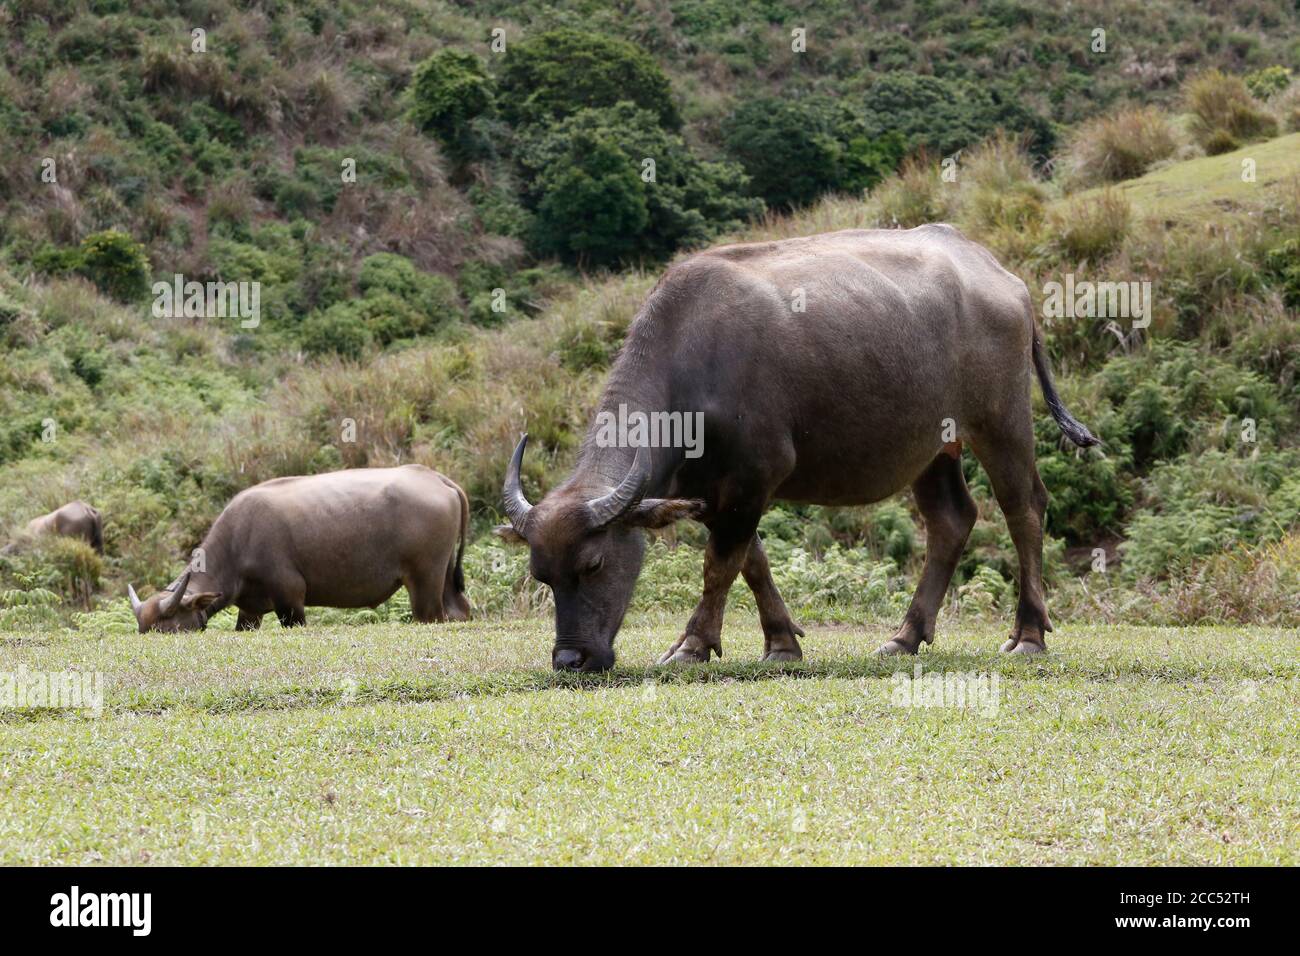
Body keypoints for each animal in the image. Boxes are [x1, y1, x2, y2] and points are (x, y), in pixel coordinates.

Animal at [128, 465, 472, 632]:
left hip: (424, 582)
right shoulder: (250, 611)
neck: (237, 543)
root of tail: (436, 478)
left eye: (171, 630)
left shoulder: (291, 601)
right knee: (460, 611)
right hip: (443, 578)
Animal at [497, 225, 1099, 672]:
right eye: (541, 575)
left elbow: (720, 565)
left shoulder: (754, 476)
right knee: (952, 520)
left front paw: (692, 646)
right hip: (933, 448)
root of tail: (1002, 277)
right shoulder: (717, 491)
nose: (570, 660)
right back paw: (905, 636)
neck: (693, 363)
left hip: (1002, 422)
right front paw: (781, 642)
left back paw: (1028, 634)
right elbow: (751, 561)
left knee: (1024, 508)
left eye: (594, 564)